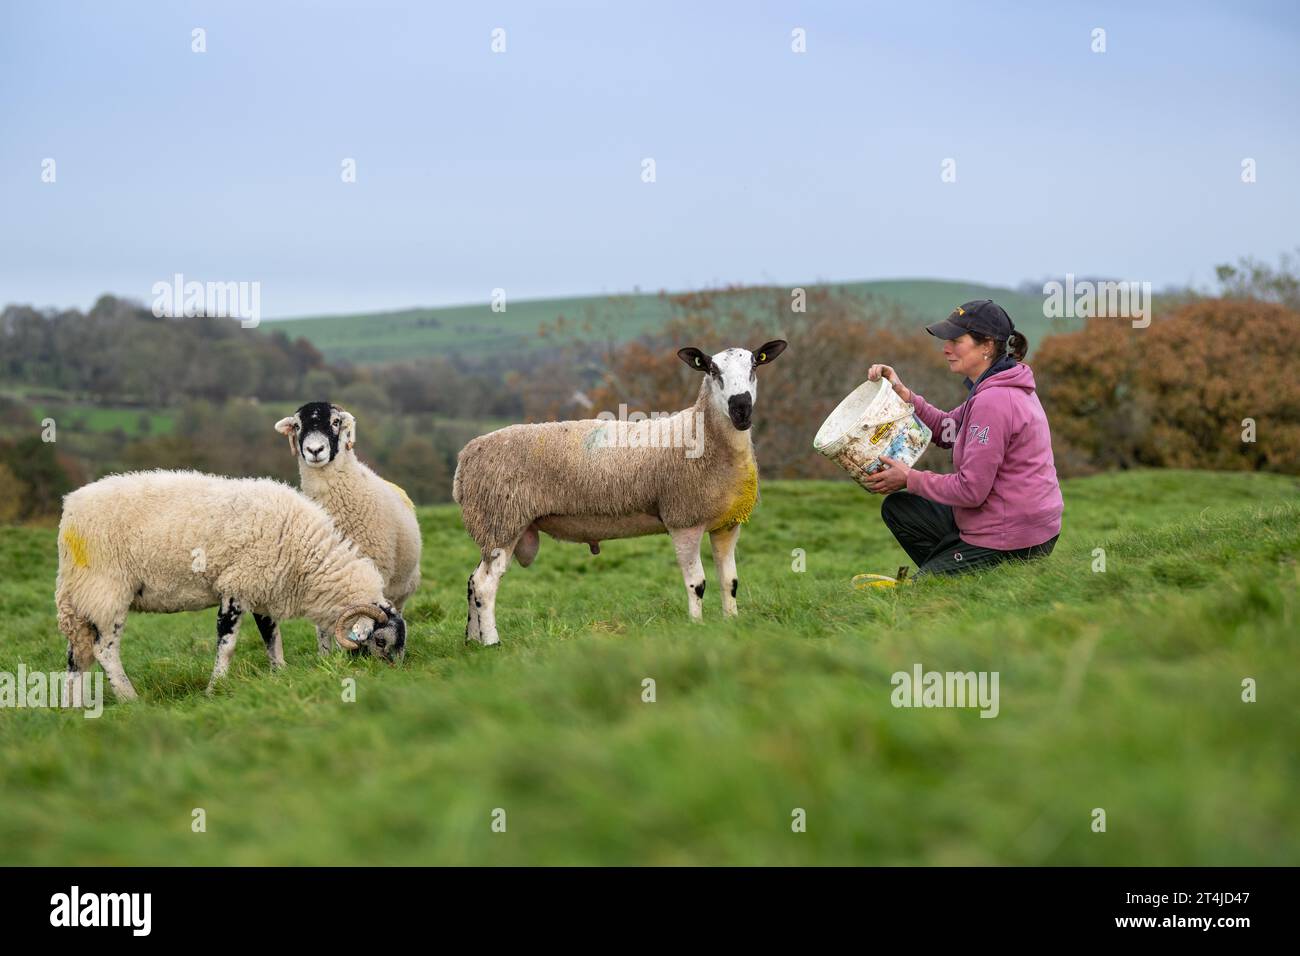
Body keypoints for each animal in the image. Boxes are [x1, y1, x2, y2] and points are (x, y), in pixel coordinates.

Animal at [55, 470, 407, 701]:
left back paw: (77, 708)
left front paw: (280, 675)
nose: (394, 678)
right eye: (380, 641)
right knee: (104, 650)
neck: (305, 555)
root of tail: (70, 508)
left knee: (76, 653)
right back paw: (130, 699)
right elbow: (227, 645)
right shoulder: (236, 587)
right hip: (107, 590)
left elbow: (272, 639)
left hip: (81, 595)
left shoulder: (262, 587)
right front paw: (215, 689)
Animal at [271, 401, 422, 654]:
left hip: (400, 587)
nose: (314, 450)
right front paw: (326, 656)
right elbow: (324, 626)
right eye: (297, 425)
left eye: (335, 422)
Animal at [452, 340, 787, 645]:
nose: (741, 409)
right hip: (501, 521)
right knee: (485, 584)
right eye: (713, 370)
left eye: (754, 367)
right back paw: (492, 643)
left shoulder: (728, 525)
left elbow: (730, 581)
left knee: (472, 581)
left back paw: (472, 641)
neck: (702, 433)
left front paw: (732, 623)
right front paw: (697, 628)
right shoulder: (683, 520)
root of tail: (465, 457)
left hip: (497, 527)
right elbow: (697, 583)